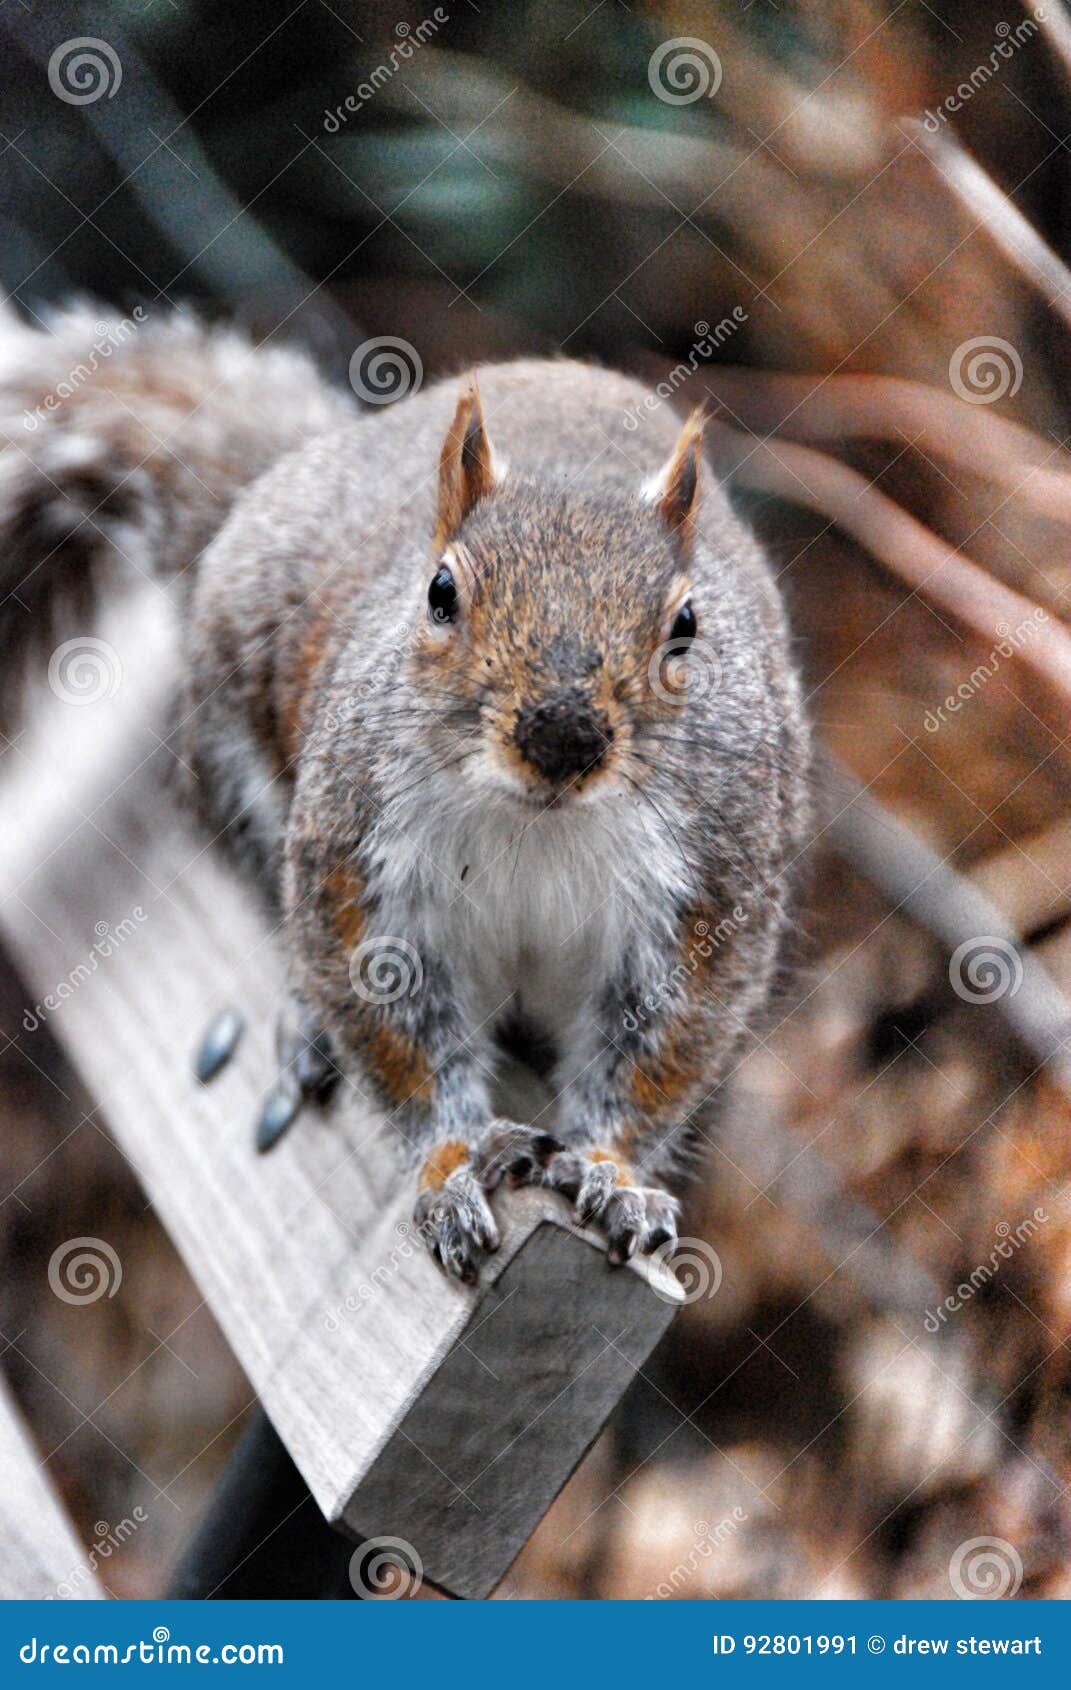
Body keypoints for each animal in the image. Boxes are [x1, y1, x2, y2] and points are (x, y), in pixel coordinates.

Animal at [0, 303, 810, 1282]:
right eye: (440, 592)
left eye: (686, 625)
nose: (561, 738)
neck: (535, 824)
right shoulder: (356, 858)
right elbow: (395, 1028)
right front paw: (450, 1168)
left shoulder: (710, 888)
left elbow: (658, 1048)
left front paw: (613, 1173)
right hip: (241, 762)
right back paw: (306, 1024)